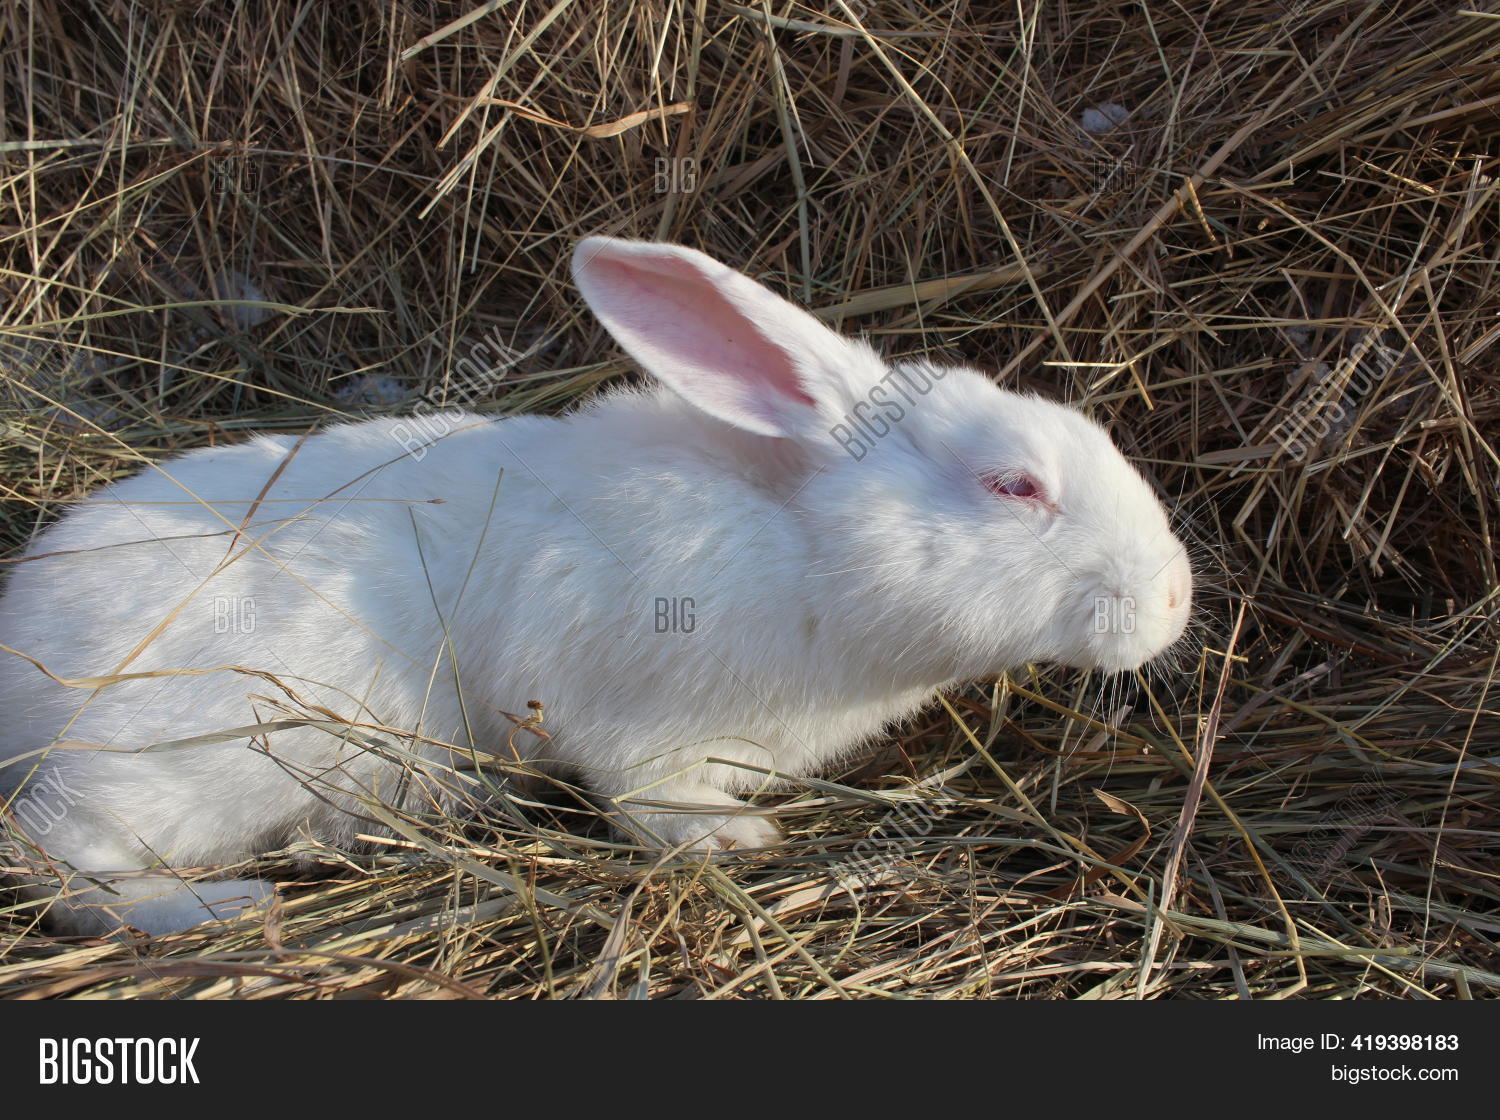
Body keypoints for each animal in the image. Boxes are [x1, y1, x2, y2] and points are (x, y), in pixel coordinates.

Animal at [0, 237, 1193, 936]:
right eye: (1015, 484)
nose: (1175, 598)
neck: (804, 535)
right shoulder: (632, 716)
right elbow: (641, 797)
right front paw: (735, 839)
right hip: (177, 770)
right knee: (62, 861)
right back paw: (218, 907)